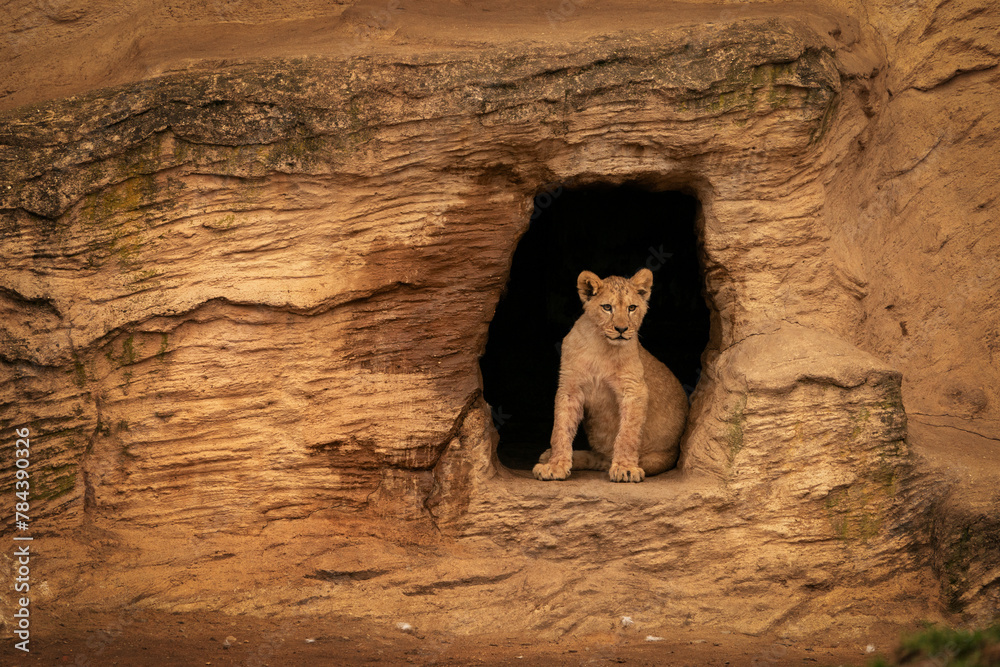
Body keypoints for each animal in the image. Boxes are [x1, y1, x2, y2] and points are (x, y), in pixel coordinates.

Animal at [532, 268, 688, 483]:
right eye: (607, 307)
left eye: (632, 308)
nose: (621, 329)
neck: (601, 346)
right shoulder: (570, 387)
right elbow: (561, 429)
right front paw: (555, 465)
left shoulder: (634, 388)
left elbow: (627, 433)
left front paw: (625, 468)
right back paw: (550, 456)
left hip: (657, 458)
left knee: (607, 460)